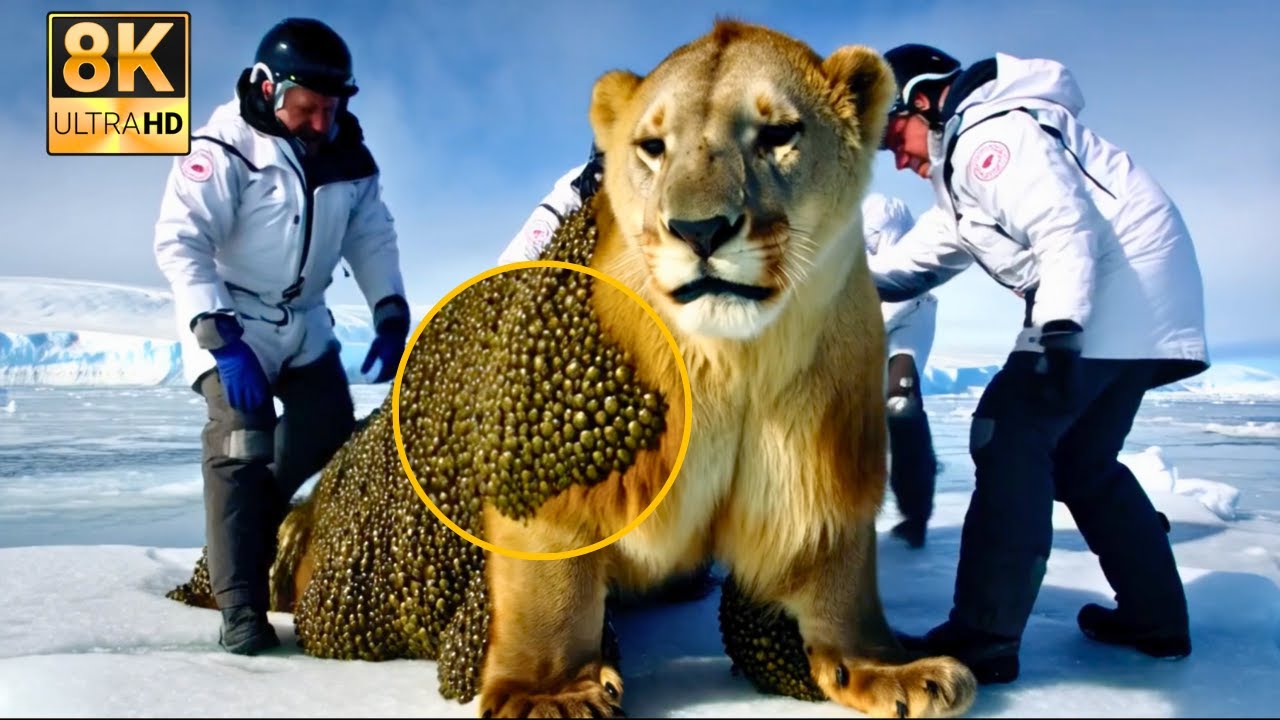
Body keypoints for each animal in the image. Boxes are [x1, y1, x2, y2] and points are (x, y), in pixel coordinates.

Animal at [167, 18, 977, 719]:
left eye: (779, 133)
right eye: (652, 145)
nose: (700, 229)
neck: (731, 365)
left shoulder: (815, 469)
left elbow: (827, 581)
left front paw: (887, 669)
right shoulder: (544, 464)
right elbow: (547, 584)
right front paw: (550, 690)